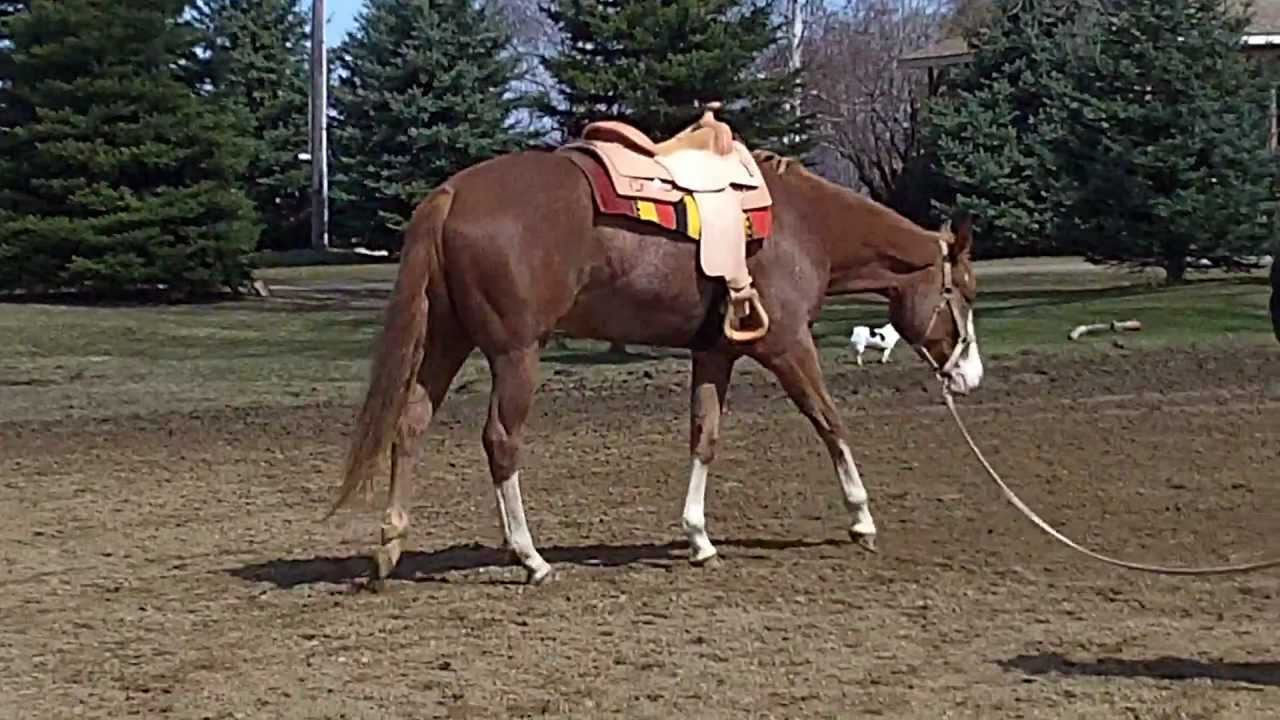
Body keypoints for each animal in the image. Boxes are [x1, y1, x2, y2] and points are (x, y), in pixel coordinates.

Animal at [326, 146, 983, 586]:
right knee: (500, 441)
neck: (805, 227)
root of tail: (454, 193)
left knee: (410, 424)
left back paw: (389, 548)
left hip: (446, 339)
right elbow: (829, 422)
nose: (970, 376)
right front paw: (861, 519)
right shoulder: (788, 345)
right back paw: (531, 558)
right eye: (968, 292)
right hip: (516, 353)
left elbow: (704, 436)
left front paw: (698, 538)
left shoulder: (715, 352)